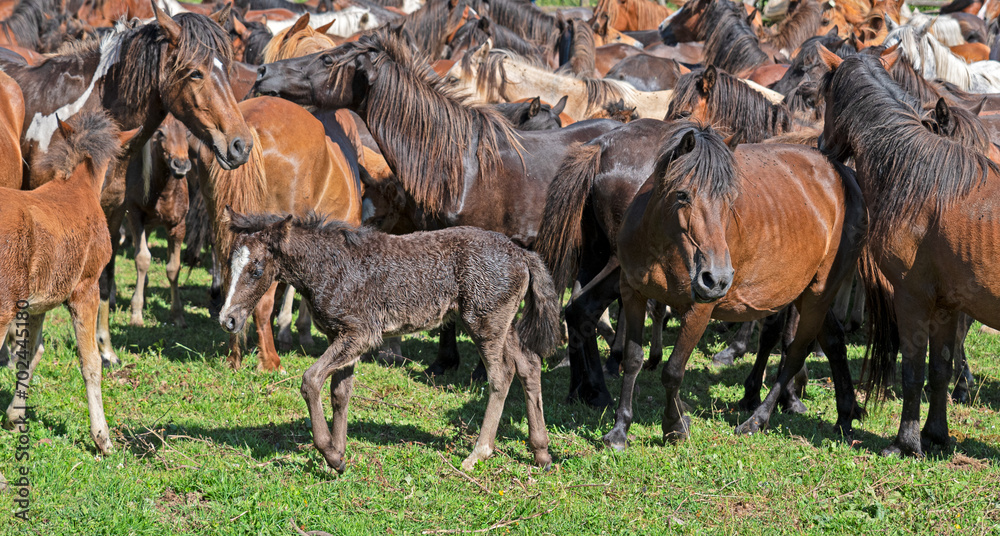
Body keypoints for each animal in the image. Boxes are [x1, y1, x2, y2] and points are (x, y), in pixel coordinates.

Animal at [1, 112, 138, 455]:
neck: (79, 187)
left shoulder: (37, 304)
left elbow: (31, 353)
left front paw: (15, 417)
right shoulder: (86, 290)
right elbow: (91, 363)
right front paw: (103, 438)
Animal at [124, 114, 191, 328]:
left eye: (188, 133)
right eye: (160, 133)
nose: (181, 165)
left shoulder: (178, 225)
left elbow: (173, 267)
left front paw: (178, 315)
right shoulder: (135, 215)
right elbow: (142, 259)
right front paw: (136, 314)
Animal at [220, 210, 559, 473]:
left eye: (256, 269)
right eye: (228, 265)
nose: (228, 320)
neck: (329, 267)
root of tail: (523, 254)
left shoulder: (360, 334)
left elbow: (311, 380)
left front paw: (329, 453)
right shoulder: (341, 336)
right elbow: (340, 393)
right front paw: (339, 455)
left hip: (484, 322)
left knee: (501, 375)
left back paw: (478, 453)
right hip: (504, 323)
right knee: (529, 364)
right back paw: (541, 452)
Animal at [817, 47, 1000, 457]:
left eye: (824, 98)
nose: (820, 147)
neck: (923, 179)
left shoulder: (911, 297)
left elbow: (913, 371)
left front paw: (906, 442)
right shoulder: (948, 303)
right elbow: (940, 370)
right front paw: (935, 435)